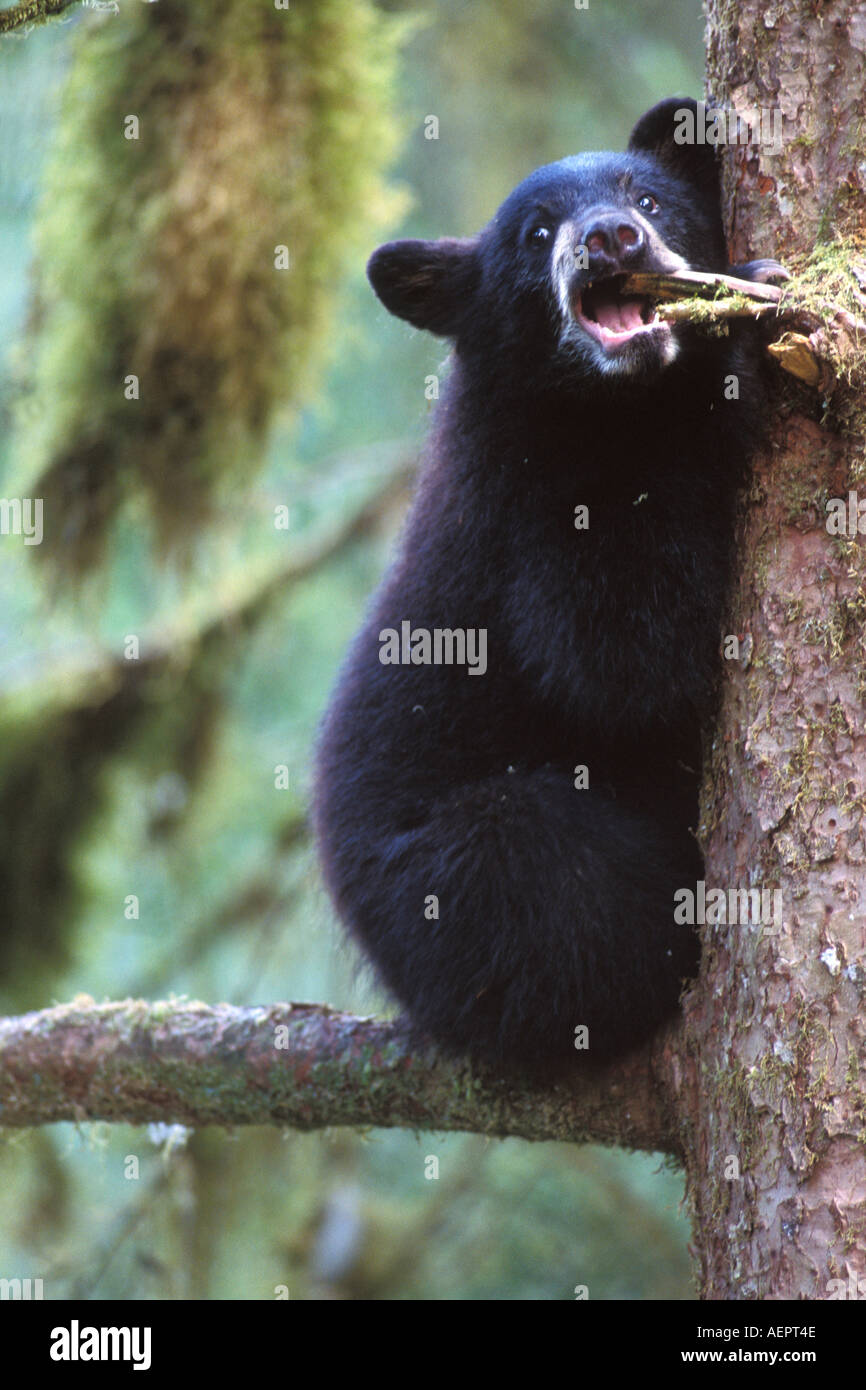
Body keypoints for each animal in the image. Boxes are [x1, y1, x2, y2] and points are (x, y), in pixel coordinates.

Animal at [312, 98, 784, 1068]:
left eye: (647, 195)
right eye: (535, 233)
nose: (611, 236)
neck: (606, 409)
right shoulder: (529, 511)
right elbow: (620, 655)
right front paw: (733, 342)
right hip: (453, 905)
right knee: (538, 863)